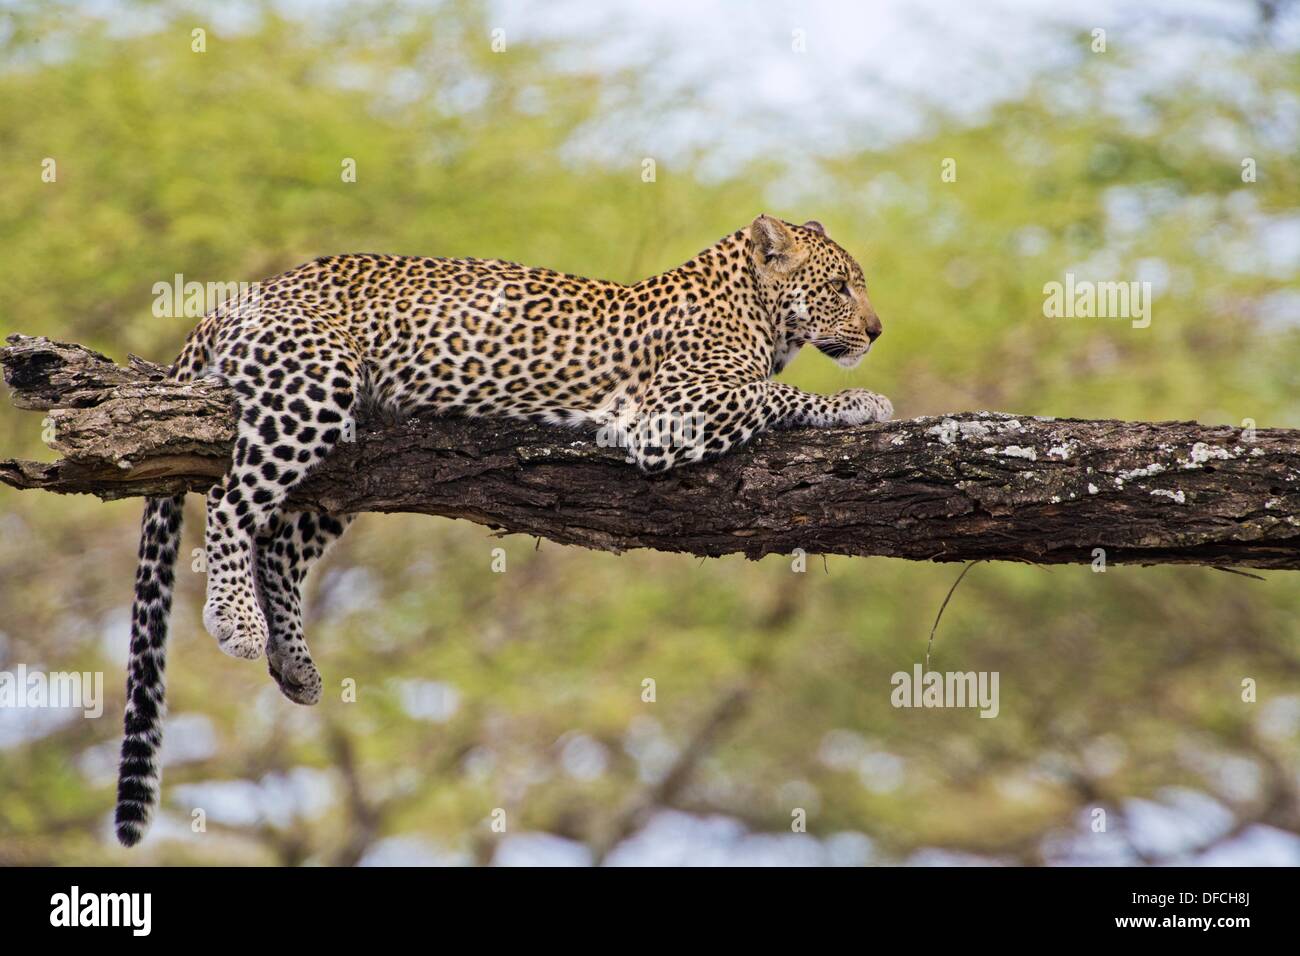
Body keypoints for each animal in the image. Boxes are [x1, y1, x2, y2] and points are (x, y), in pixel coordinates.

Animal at [113, 214, 892, 846]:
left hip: (343, 452)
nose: (877, 331)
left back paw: (295, 663)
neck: (756, 309)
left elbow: (772, 390)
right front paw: (859, 401)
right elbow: (775, 393)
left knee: (277, 544)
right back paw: (237, 622)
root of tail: (241, 296)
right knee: (229, 502)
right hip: (313, 388)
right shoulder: (672, 413)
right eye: (842, 286)